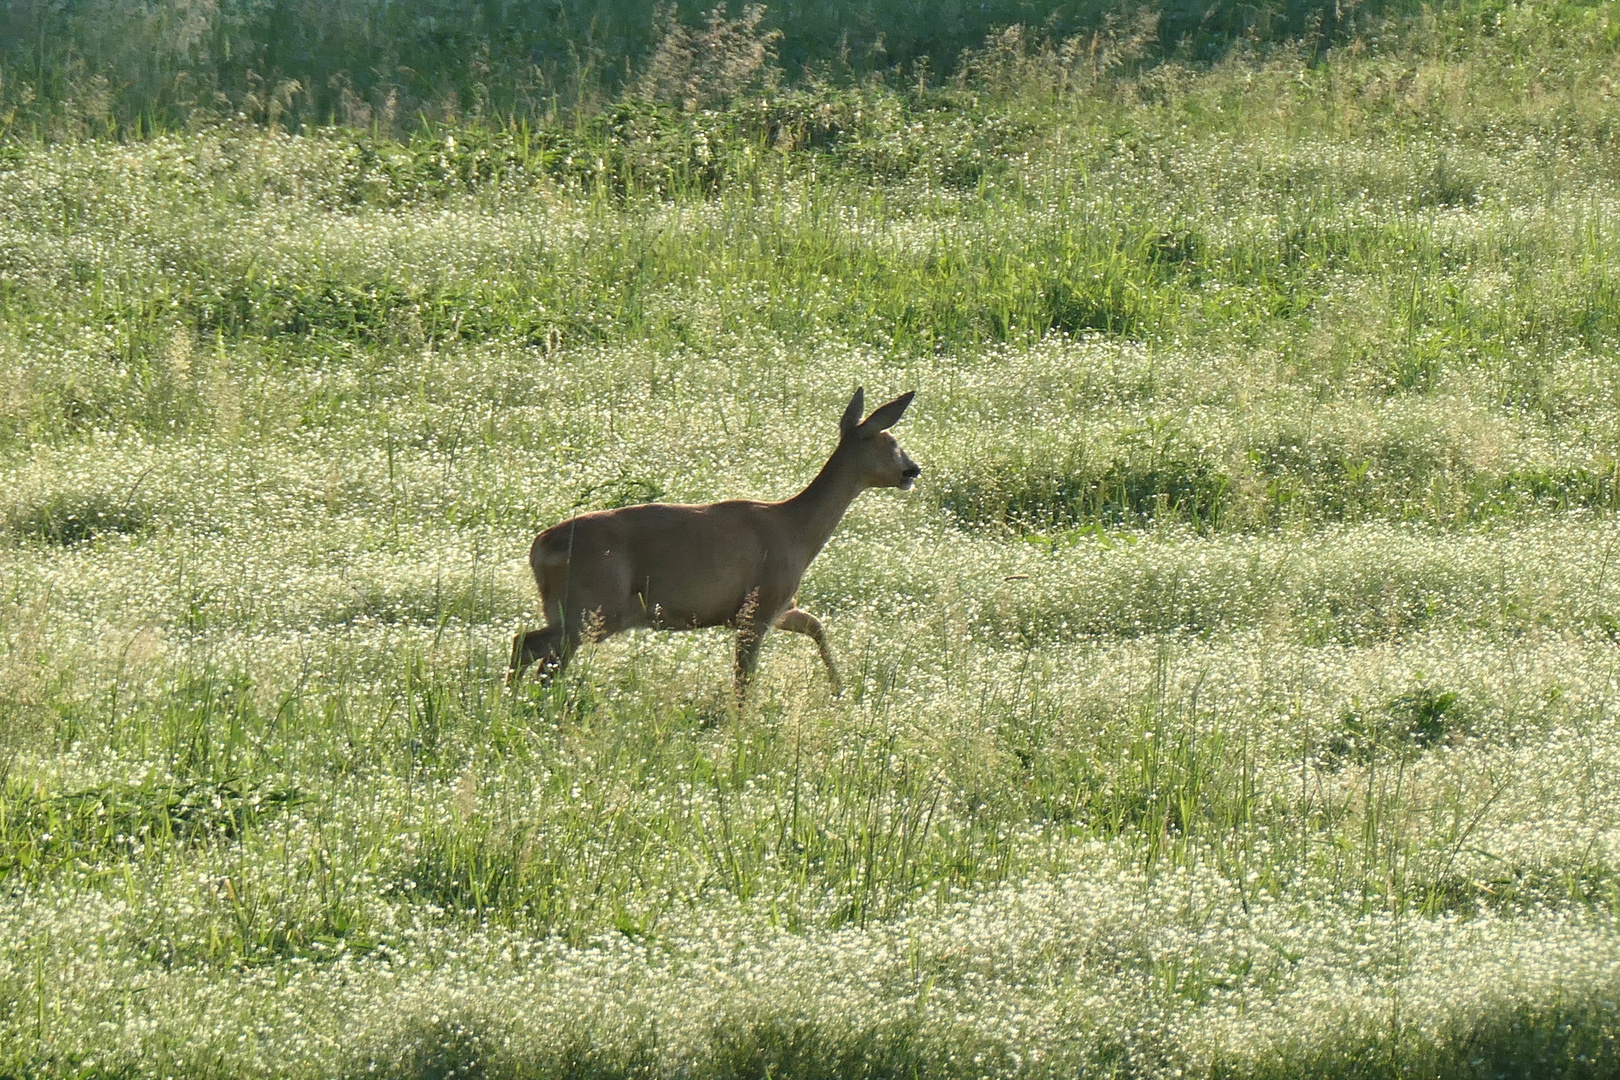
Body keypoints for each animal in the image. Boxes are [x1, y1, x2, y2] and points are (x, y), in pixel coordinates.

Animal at [505, 393, 920, 705]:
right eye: (891, 443)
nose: (912, 470)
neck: (797, 532)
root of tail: (540, 547)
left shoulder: (778, 606)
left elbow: (817, 626)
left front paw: (839, 691)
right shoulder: (760, 606)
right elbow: (744, 679)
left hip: (577, 610)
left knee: (530, 647)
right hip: (594, 607)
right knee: (535, 649)